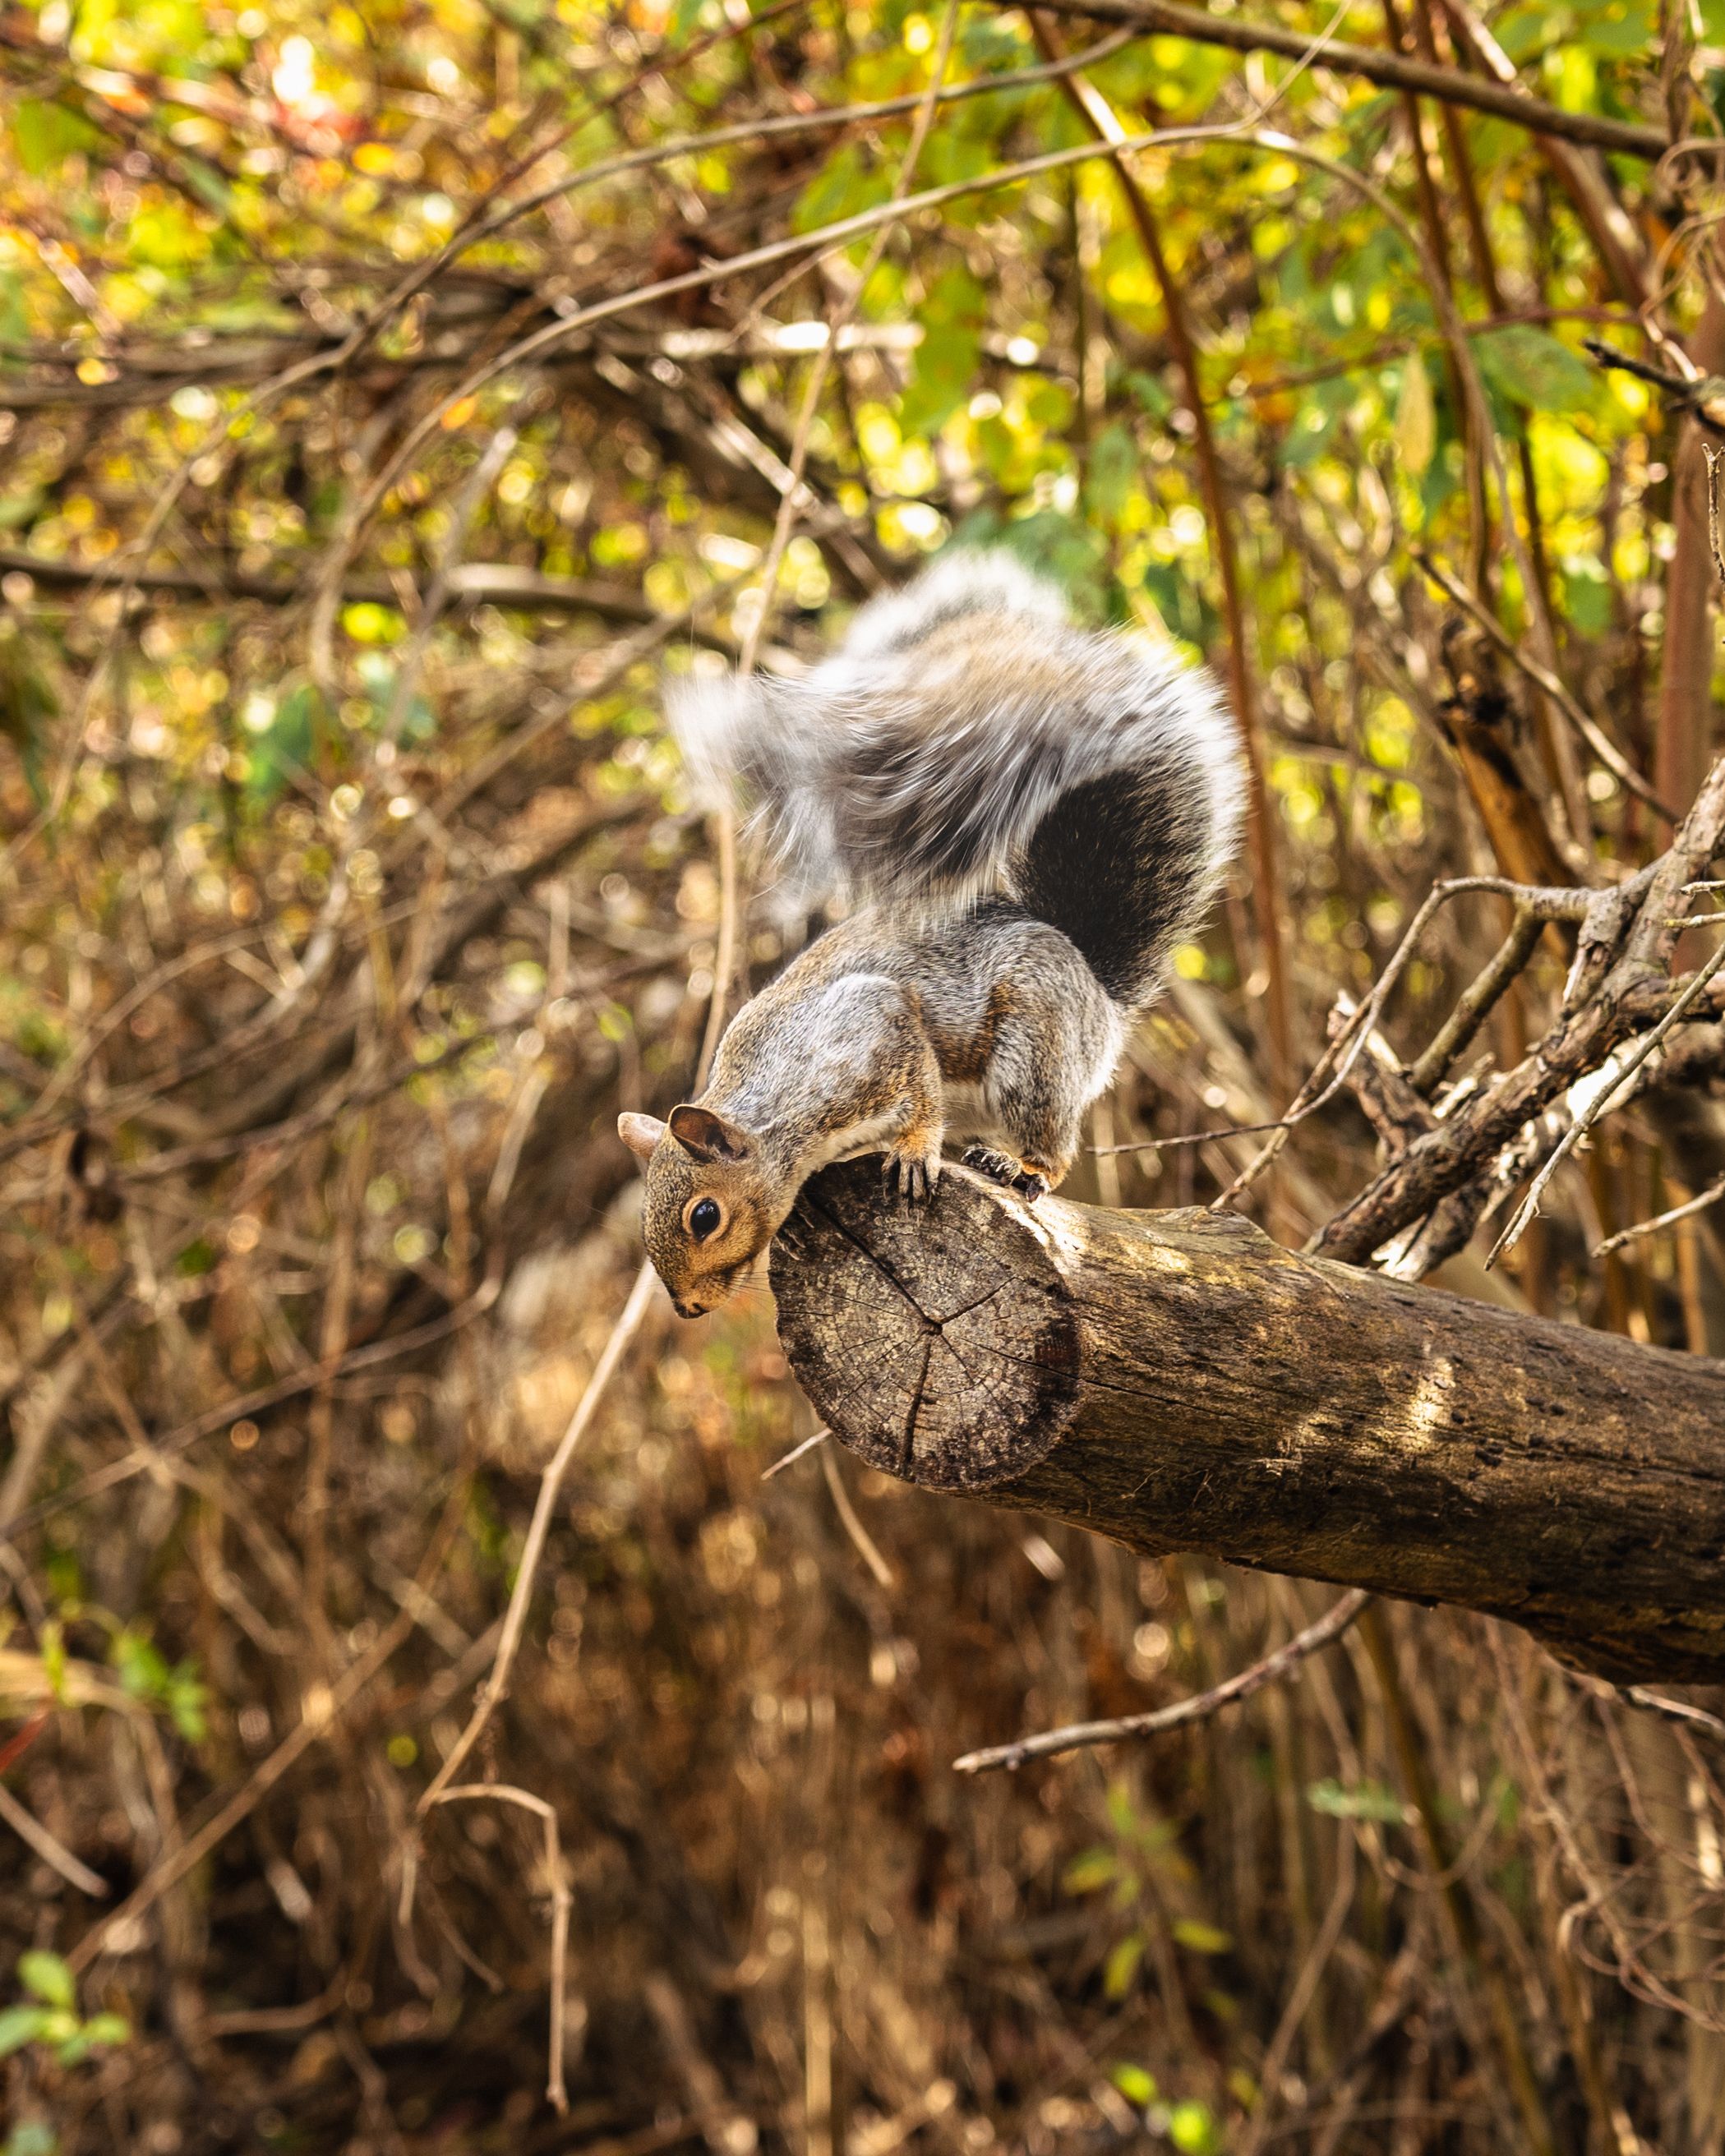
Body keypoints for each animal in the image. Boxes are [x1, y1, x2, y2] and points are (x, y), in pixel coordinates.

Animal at [618, 549, 1245, 1317]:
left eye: (704, 1215)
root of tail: (1096, 985)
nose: (687, 1308)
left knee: (1052, 1141)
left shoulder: (874, 1028)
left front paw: (916, 1151)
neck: (781, 1105)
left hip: (1032, 1058)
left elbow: (916, 1086)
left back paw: (1019, 1165)